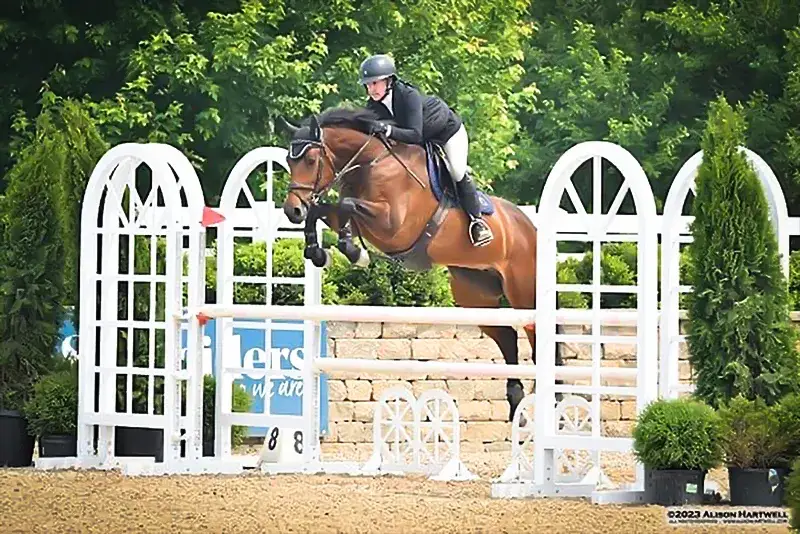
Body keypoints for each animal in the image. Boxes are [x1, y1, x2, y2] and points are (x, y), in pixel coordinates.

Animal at [278, 106, 558, 424]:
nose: (291, 210)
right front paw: (320, 250)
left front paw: (352, 250)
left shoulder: (393, 227)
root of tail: (530, 227)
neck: (371, 162)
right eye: (288, 160)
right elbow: (324, 210)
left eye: (311, 160)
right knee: (508, 337)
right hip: (475, 293)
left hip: (525, 293)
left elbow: (347, 205)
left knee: (536, 341)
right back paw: (516, 406)